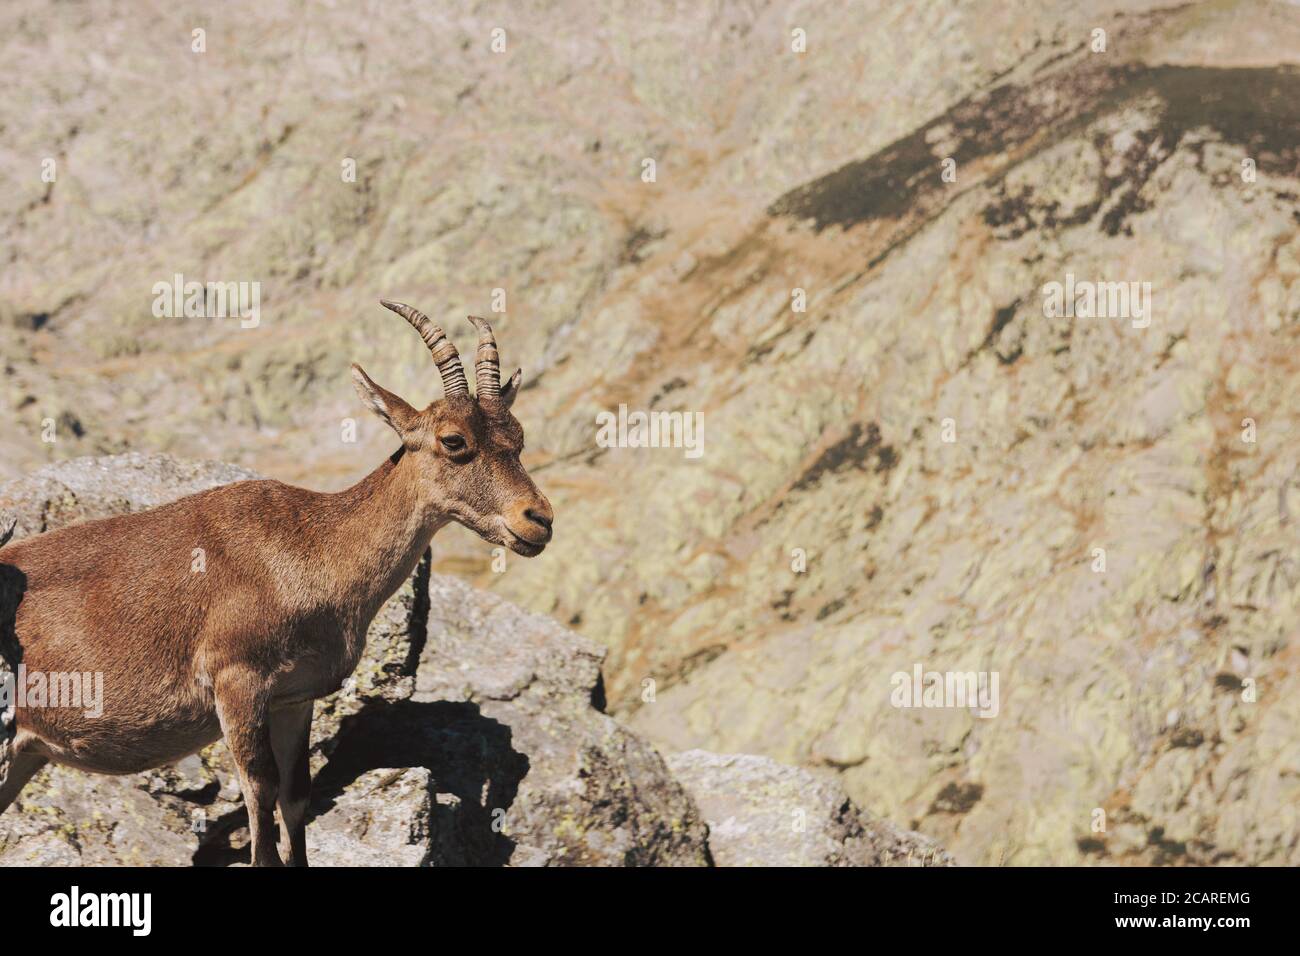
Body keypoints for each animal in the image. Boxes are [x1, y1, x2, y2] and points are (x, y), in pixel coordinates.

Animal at [0, 302, 553, 865]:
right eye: (453, 440)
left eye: (518, 437)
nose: (538, 520)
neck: (309, 549)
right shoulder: (237, 681)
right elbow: (260, 793)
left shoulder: (294, 697)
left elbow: (295, 796)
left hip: (23, 755)